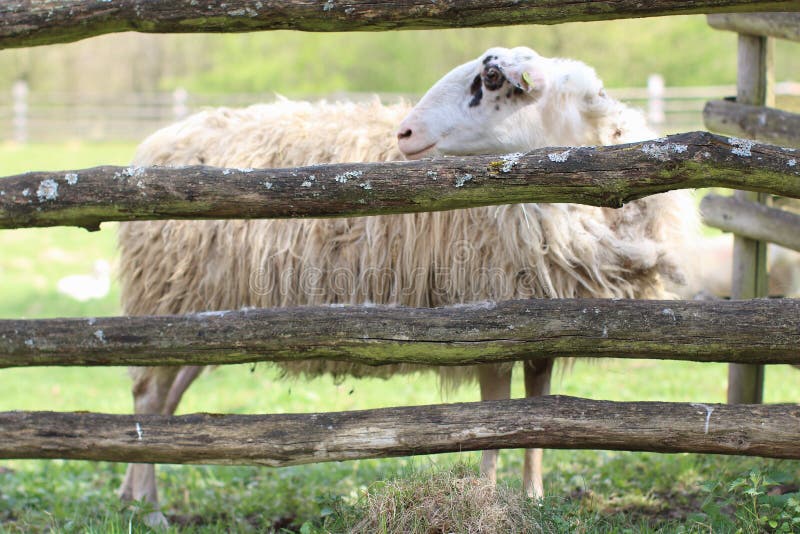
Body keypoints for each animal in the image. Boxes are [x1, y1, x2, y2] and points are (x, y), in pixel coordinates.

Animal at [117, 46, 698, 526]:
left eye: (491, 79)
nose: (404, 133)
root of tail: (158, 142)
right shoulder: (488, 320)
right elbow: (495, 415)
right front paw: (485, 500)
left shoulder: (548, 323)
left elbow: (539, 411)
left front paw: (534, 499)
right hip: (169, 299)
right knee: (147, 397)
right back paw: (150, 509)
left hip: (209, 319)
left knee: (164, 404)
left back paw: (132, 493)